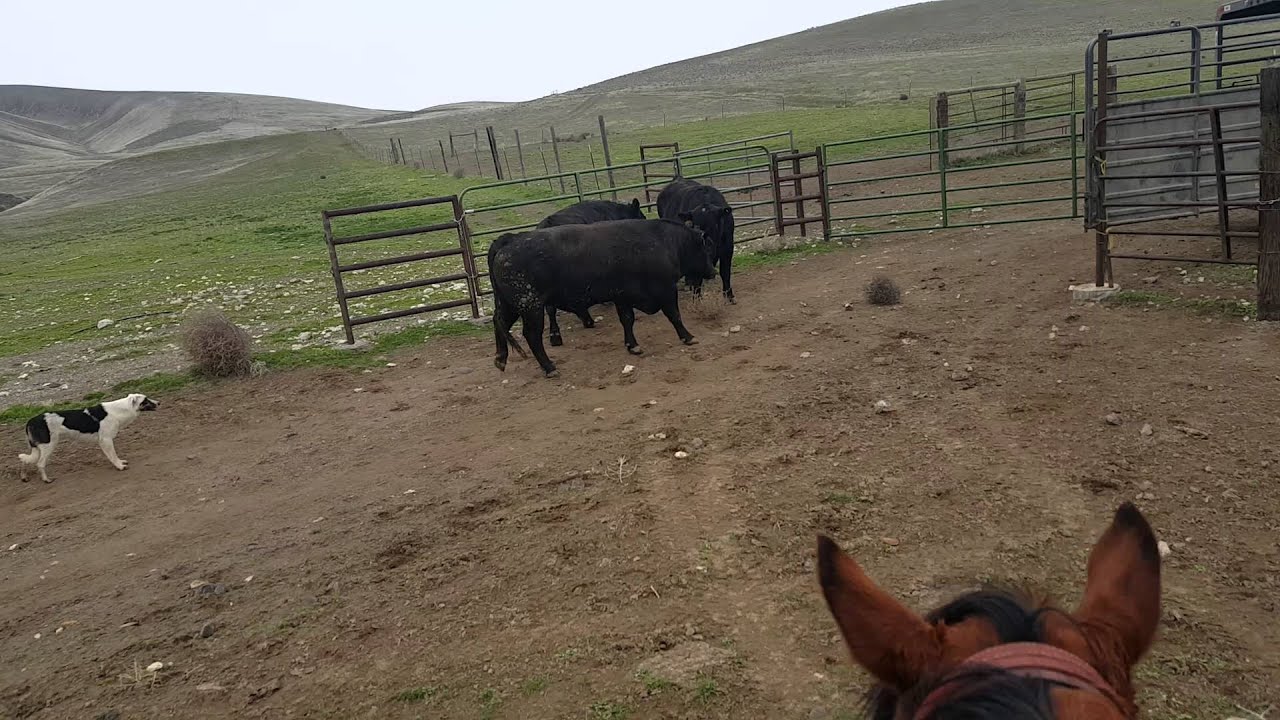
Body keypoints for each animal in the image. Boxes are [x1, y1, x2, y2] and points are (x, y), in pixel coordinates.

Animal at [489, 218, 716, 378]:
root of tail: (510, 239)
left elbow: (627, 320)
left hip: (511, 305)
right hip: (531, 306)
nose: (713, 271)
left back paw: (501, 359)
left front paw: (633, 346)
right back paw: (549, 367)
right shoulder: (666, 290)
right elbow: (674, 315)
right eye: (706, 247)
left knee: (499, 323)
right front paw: (688, 336)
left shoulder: (622, 296)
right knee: (532, 336)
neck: (664, 242)